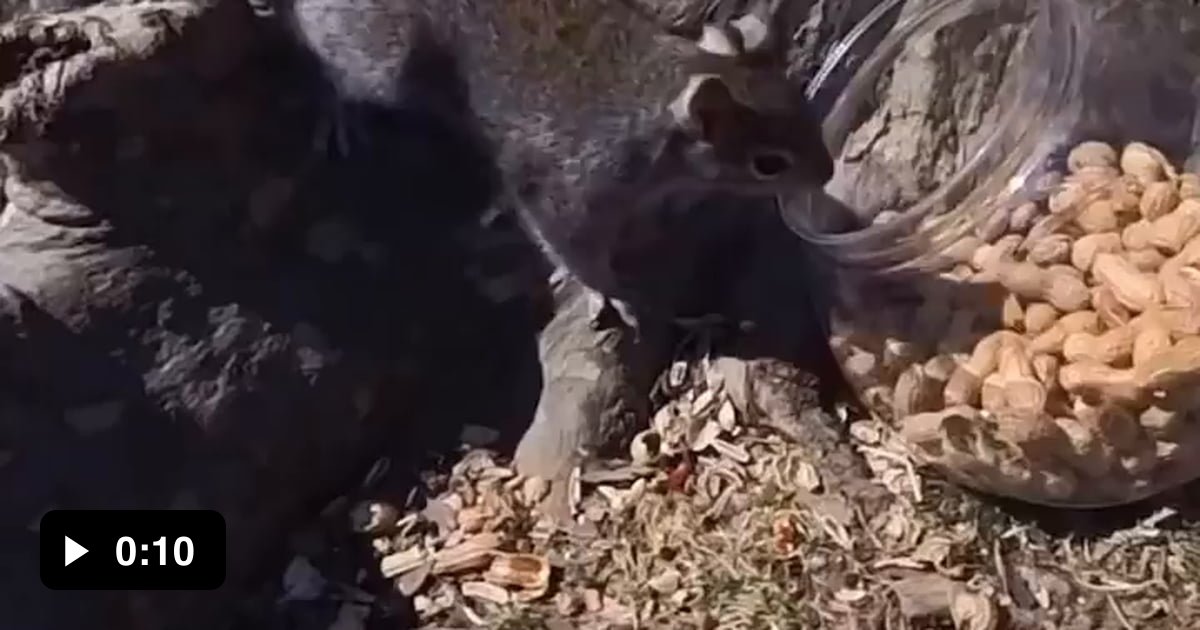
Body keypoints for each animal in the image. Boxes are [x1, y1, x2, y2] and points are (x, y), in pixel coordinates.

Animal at [248, 0, 835, 332]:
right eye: (768, 164)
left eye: (803, 107)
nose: (826, 175)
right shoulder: (565, 188)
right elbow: (575, 251)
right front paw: (615, 292)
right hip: (384, 61)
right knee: (327, 55)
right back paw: (338, 108)